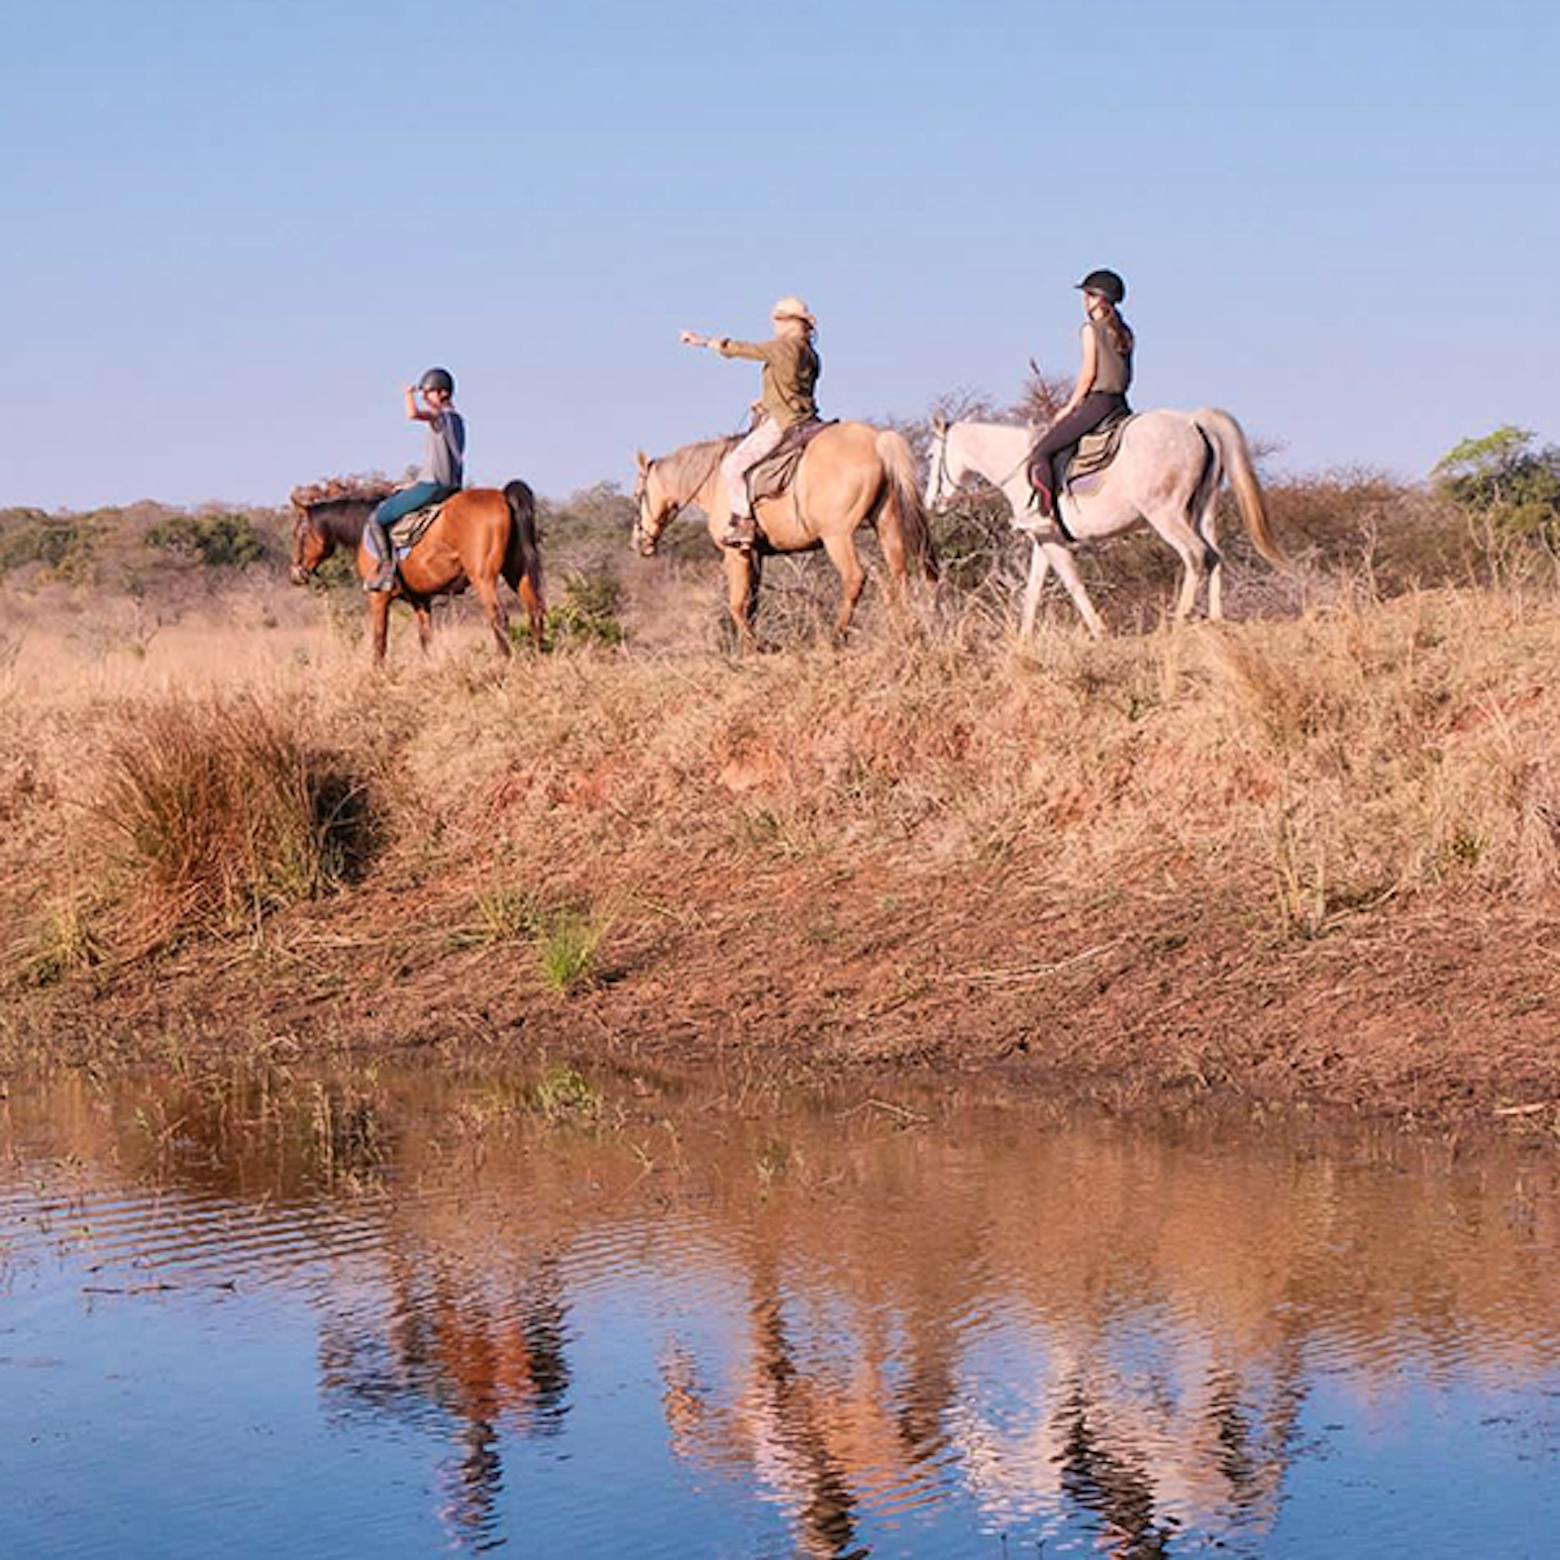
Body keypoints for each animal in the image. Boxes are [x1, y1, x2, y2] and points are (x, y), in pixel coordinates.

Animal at [289, 479, 546, 662]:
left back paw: (504, 661)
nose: (295, 574)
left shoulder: (378, 597)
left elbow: (379, 641)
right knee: (535, 612)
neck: (364, 529)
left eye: (300, 533)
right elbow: (425, 638)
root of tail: (503, 496)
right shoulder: (421, 599)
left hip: (483, 578)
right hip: (518, 575)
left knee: (499, 617)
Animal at [631, 423, 938, 647]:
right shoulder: (754, 553)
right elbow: (751, 603)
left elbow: (736, 604)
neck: (715, 478)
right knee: (899, 575)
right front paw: (749, 649)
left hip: (837, 537)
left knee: (855, 578)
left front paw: (759, 646)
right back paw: (904, 631)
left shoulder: (735, 553)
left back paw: (837, 636)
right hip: (886, 523)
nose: (638, 543)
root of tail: (875, 439)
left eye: (637, 495)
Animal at [924, 409, 1286, 638]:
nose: (930, 503)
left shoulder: (1049, 538)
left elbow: (1072, 583)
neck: (1020, 463)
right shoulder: (1045, 537)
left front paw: (1100, 631)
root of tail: (1194, 421)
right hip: (1201, 513)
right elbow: (1034, 588)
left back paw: (1178, 622)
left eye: (929, 456)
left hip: (1166, 516)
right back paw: (1215, 619)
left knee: (1195, 555)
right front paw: (1023, 637)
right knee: (1214, 556)